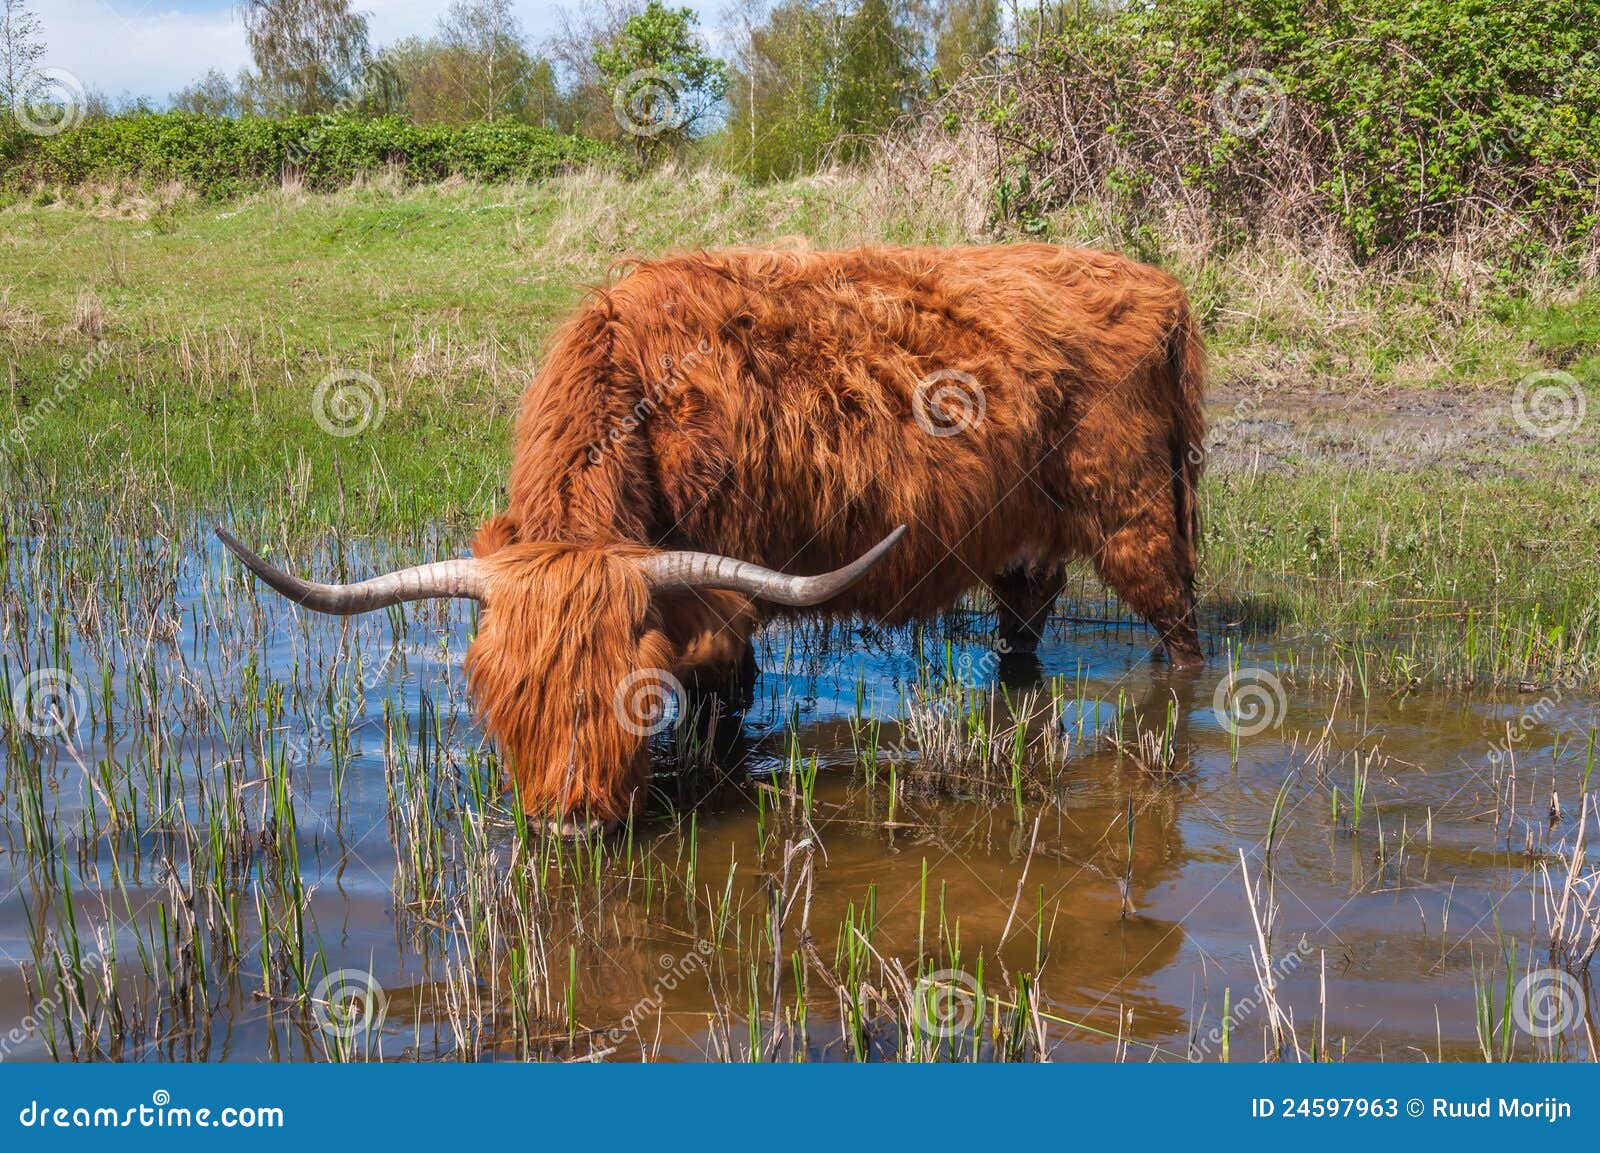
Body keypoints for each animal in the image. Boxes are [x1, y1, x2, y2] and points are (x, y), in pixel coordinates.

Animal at [218, 244, 1206, 833]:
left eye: (636, 697)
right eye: (498, 694)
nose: (568, 819)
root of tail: (1158, 282)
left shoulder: (726, 607)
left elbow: (724, 715)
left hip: (1140, 517)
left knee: (1181, 632)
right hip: (1022, 544)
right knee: (1025, 631)